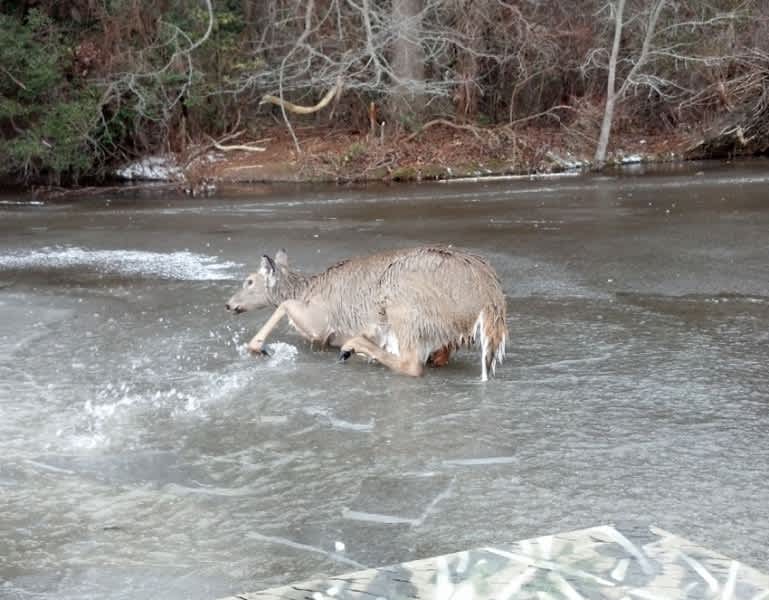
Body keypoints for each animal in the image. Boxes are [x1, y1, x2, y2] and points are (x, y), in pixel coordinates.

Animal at [225, 246, 507, 380]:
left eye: (249, 281)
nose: (228, 305)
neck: (305, 288)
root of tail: (491, 298)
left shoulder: (320, 324)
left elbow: (284, 306)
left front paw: (256, 346)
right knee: (436, 356)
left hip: (403, 304)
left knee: (411, 364)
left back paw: (354, 346)